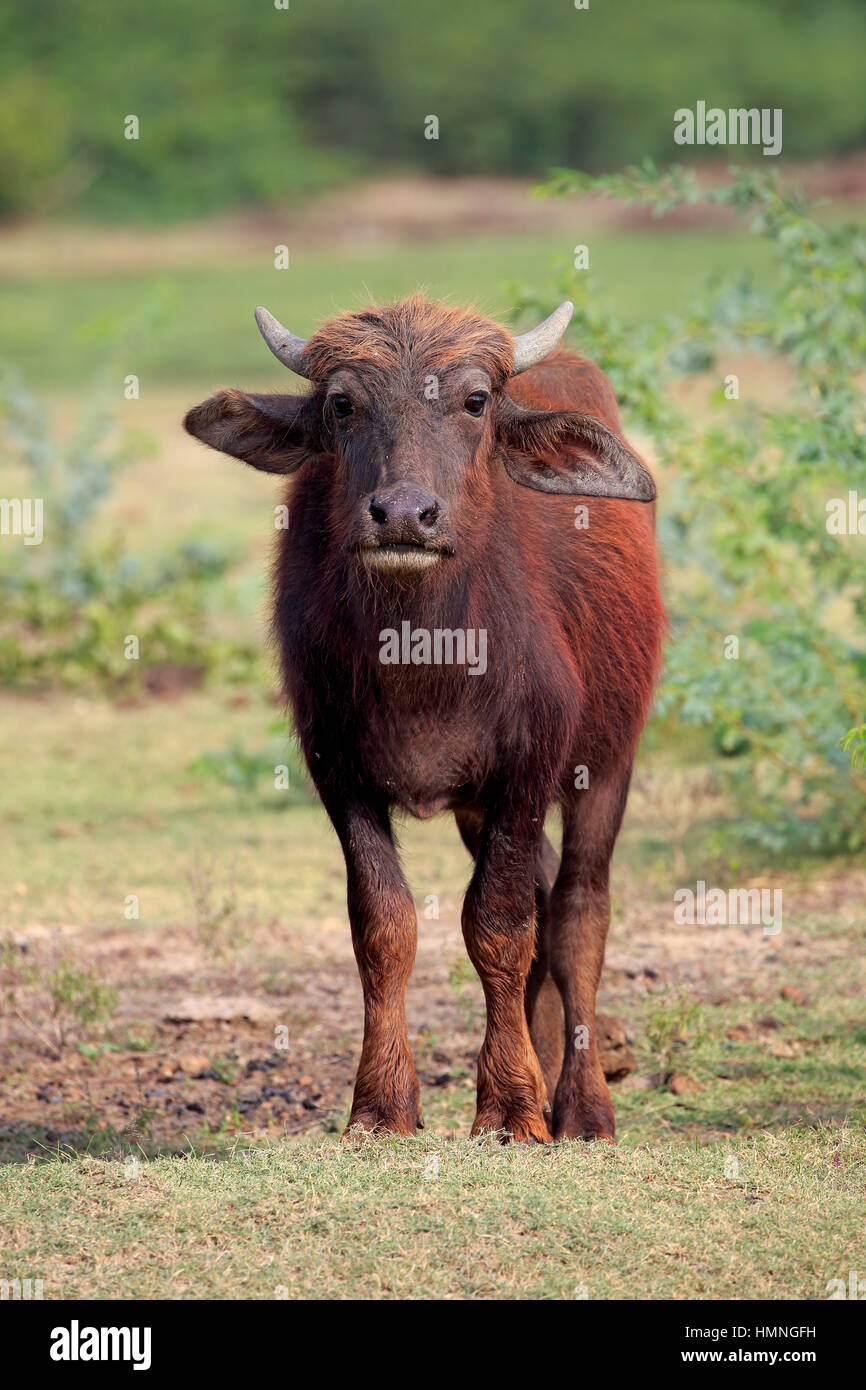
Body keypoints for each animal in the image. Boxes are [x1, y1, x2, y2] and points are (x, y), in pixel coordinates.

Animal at [184, 293, 664, 1143]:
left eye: (475, 401)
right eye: (343, 404)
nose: (404, 514)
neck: (424, 658)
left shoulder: (528, 768)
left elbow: (499, 926)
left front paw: (510, 1106)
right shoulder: (336, 770)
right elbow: (383, 926)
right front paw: (382, 1105)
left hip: (609, 764)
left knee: (578, 914)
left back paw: (579, 1104)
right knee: (546, 893)